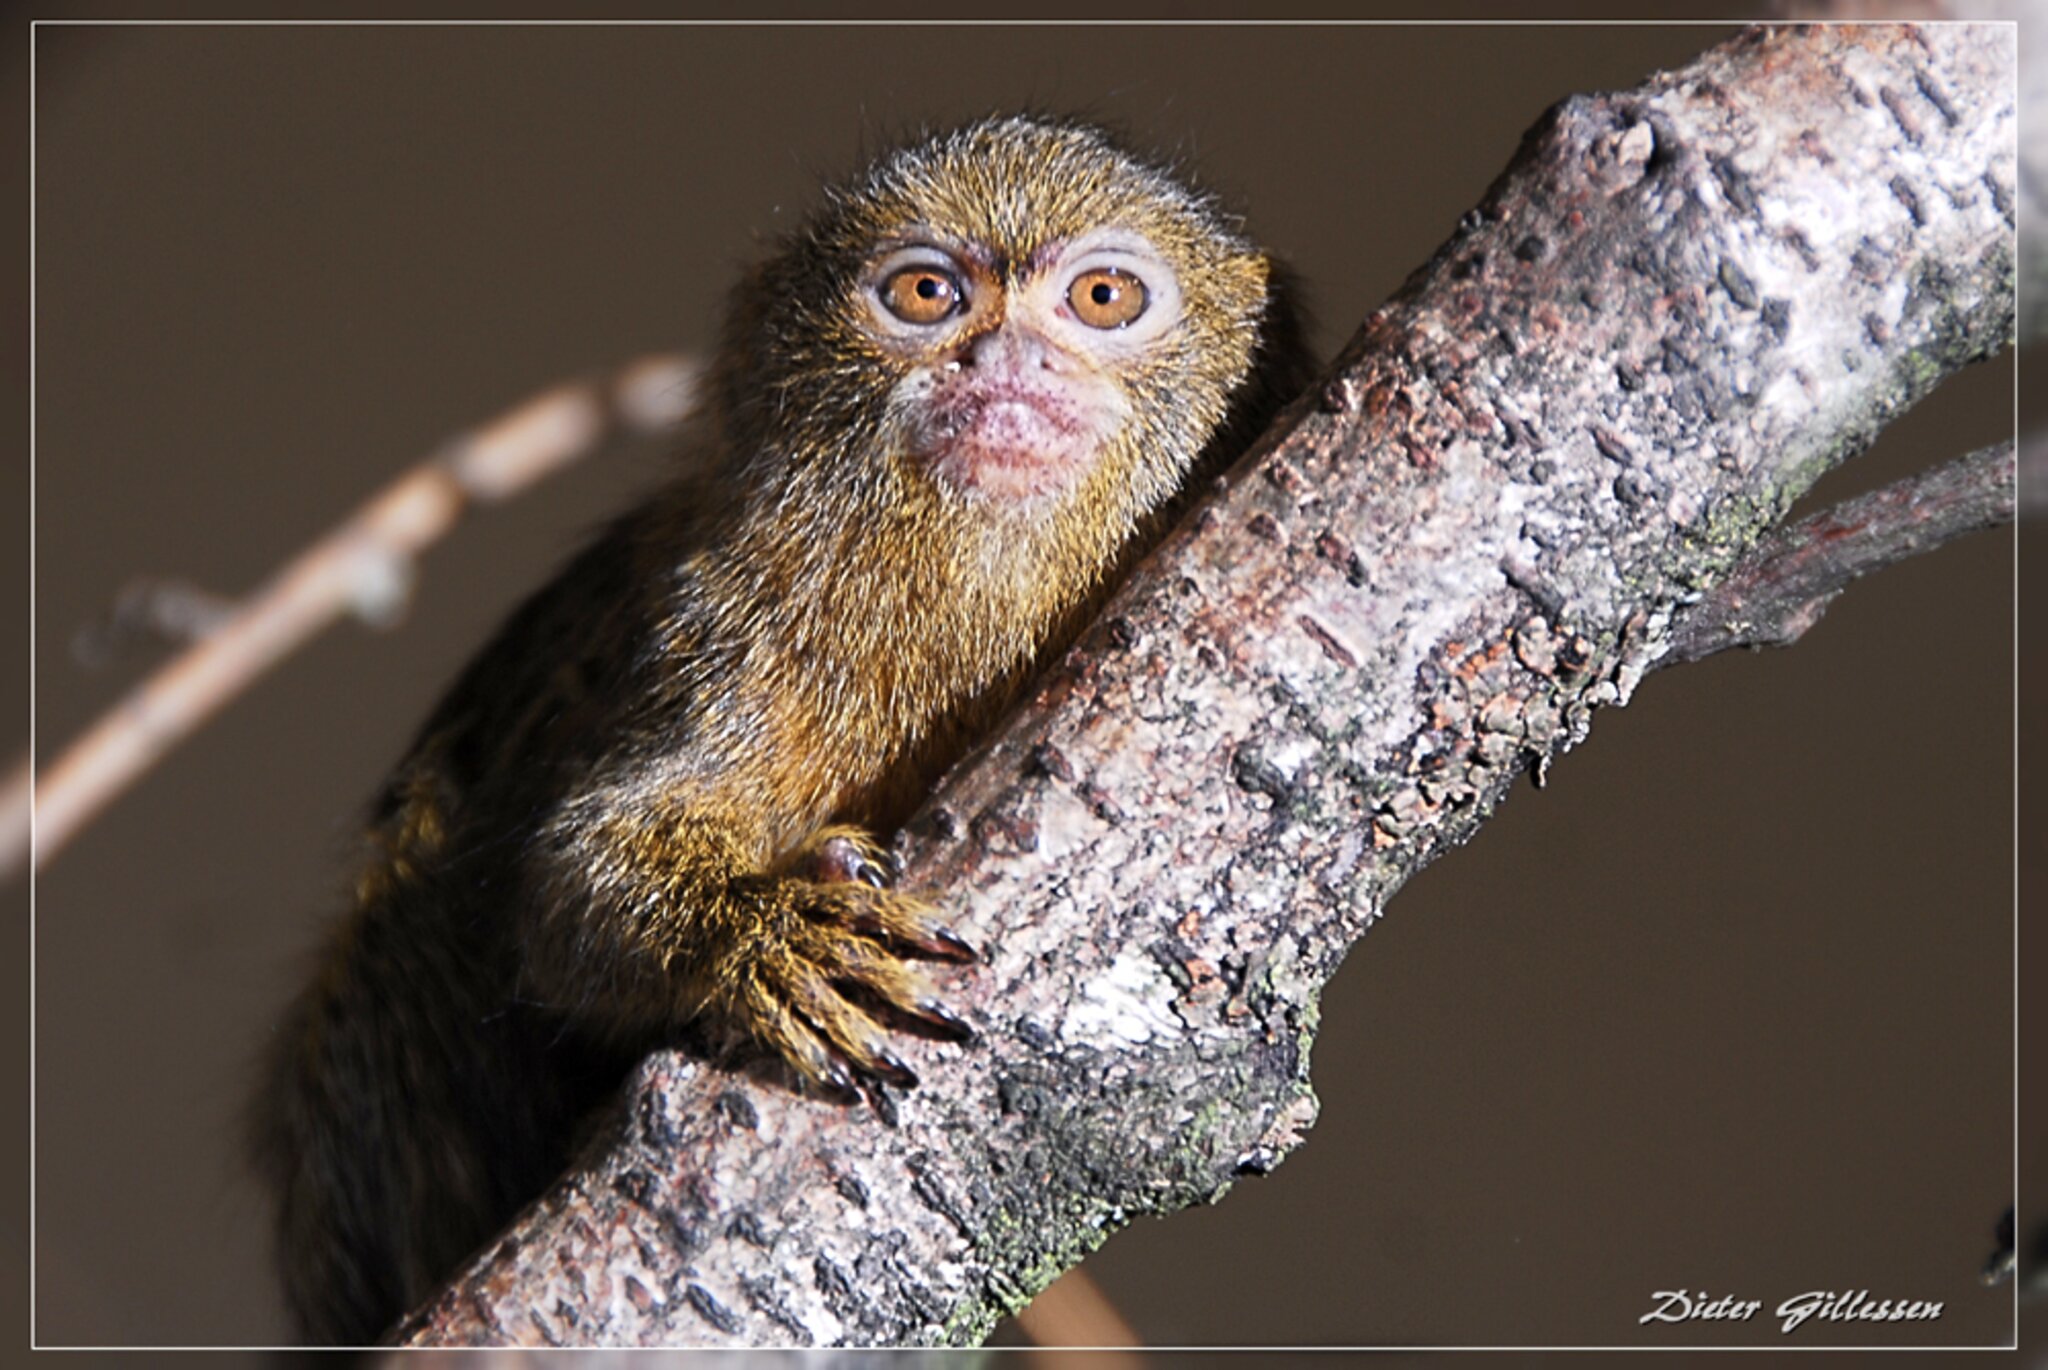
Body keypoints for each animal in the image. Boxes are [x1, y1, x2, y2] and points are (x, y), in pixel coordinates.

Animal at [251, 113, 1309, 1346]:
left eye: (1102, 296)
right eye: (924, 292)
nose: (1005, 363)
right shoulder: (729, 622)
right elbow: (568, 883)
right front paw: (758, 935)